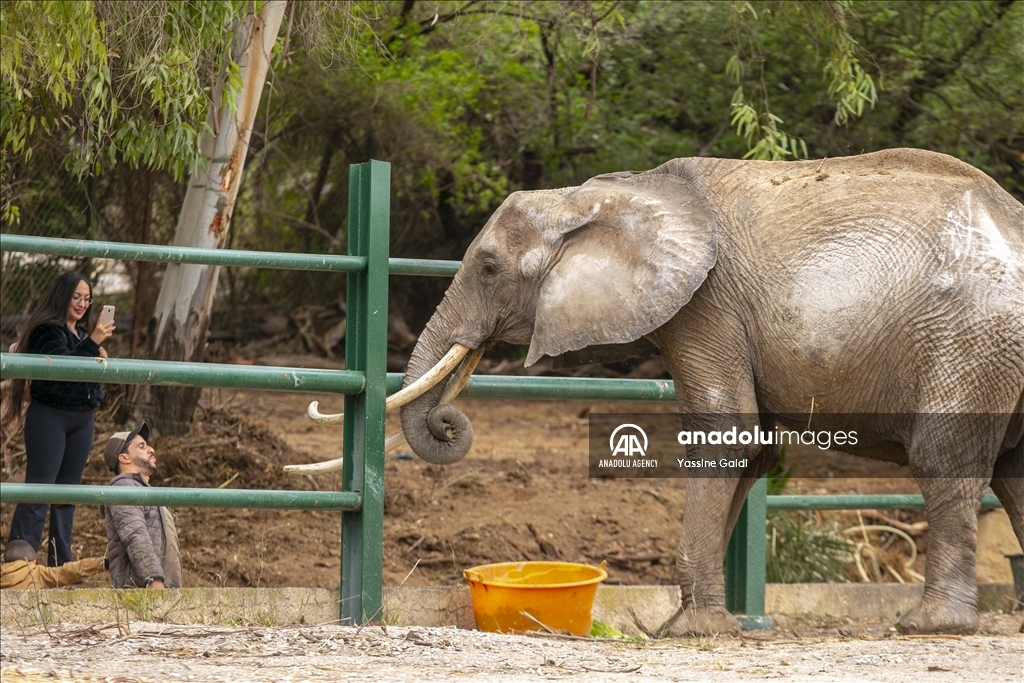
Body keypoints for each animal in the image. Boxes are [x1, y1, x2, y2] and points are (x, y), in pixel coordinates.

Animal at [397, 148, 1024, 636]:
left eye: (488, 267)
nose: (447, 422)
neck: (602, 196)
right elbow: (755, 449)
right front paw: (698, 624)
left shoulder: (708, 306)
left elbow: (728, 433)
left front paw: (688, 631)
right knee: (1015, 471)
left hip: (970, 339)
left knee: (944, 460)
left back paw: (929, 625)